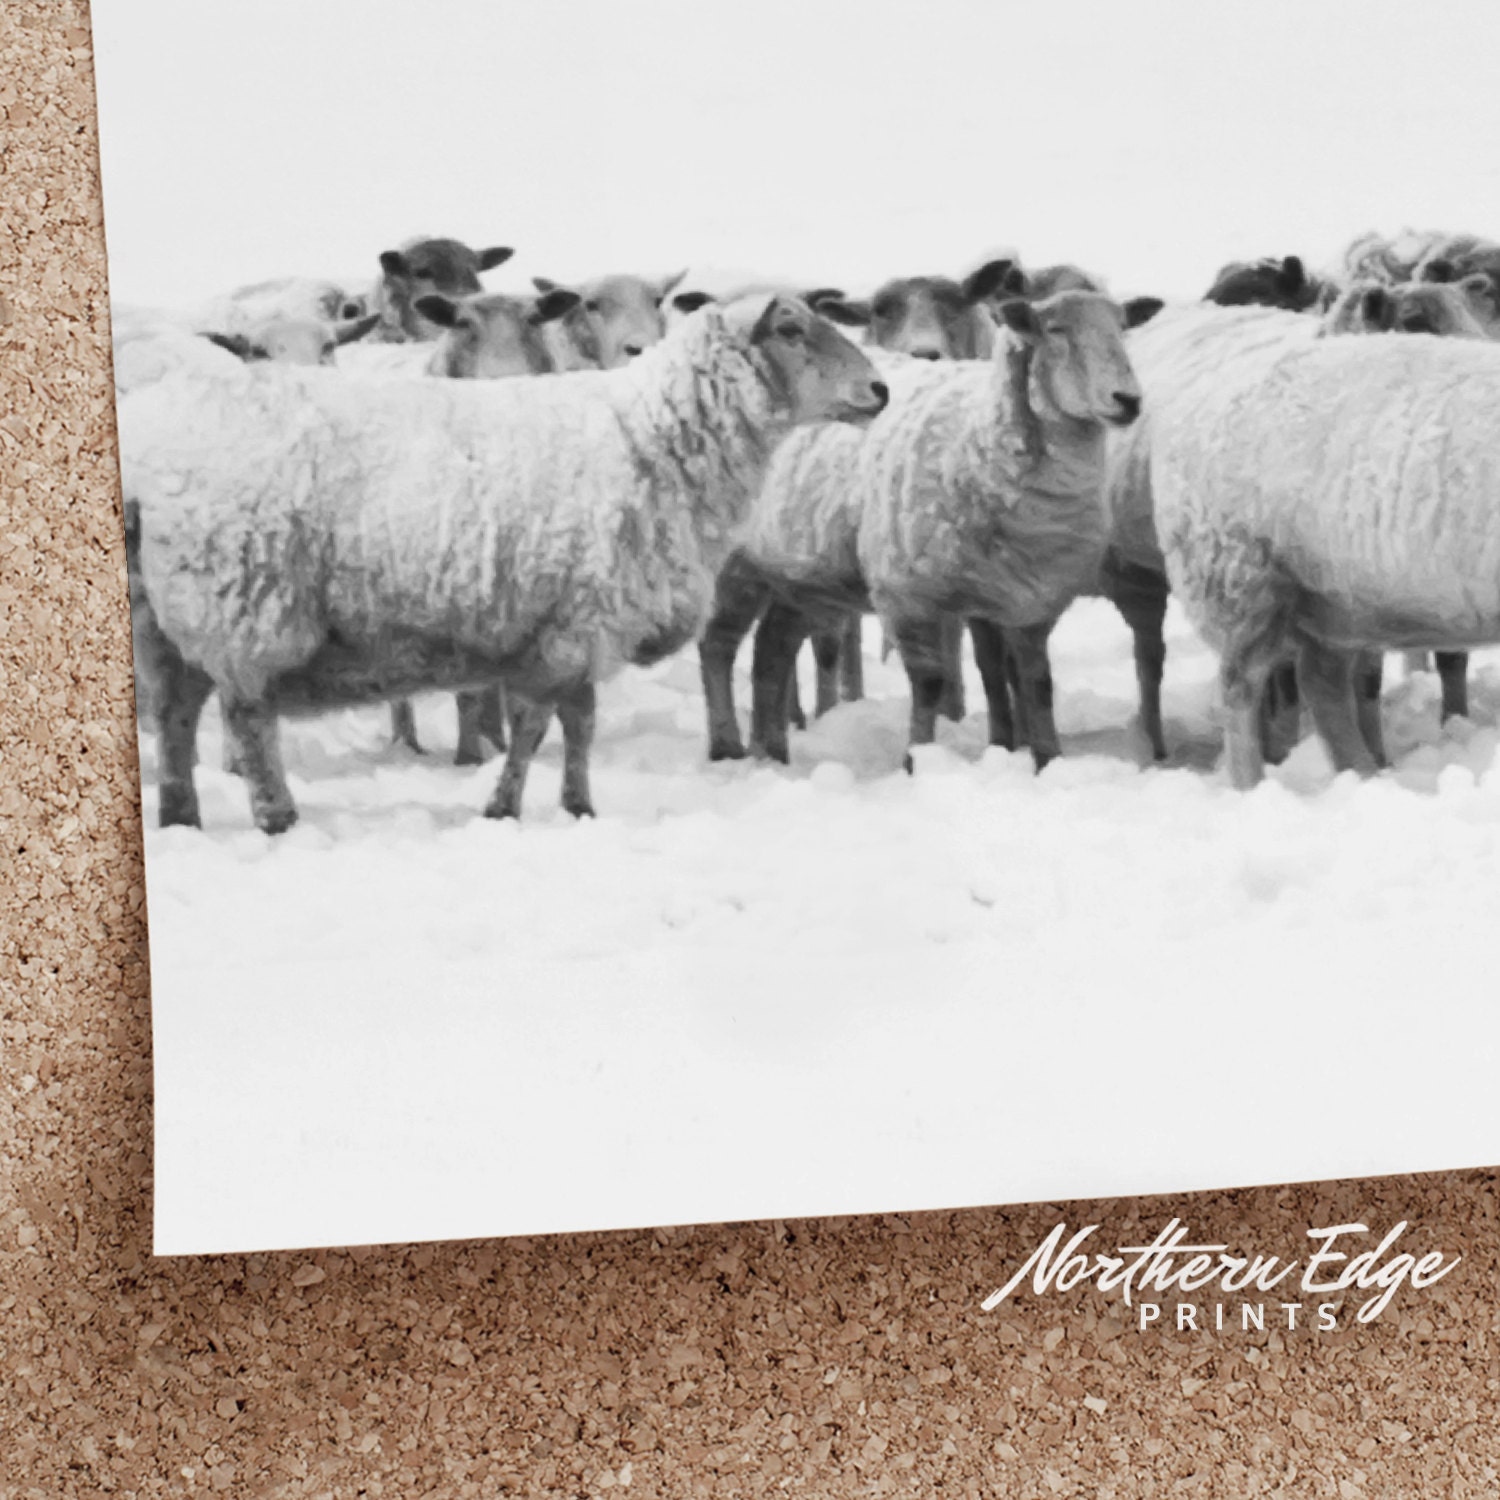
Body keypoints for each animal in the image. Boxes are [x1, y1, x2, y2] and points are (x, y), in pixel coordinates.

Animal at [120, 295, 888, 832]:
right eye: (790, 330)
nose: (880, 390)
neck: (651, 436)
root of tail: (152, 452)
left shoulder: (571, 623)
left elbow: (575, 722)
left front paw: (577, 805)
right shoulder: (575, 621)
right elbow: (540, 726)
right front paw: (509, 805)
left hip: (162, 616)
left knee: (176, 715)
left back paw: (181, 817)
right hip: (243, 602)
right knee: (247, 718)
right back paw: (275, 815)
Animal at [1145, 304, 1500, 789]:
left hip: (1330, 599)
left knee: (1321, 683)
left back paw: (1363, 773)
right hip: (1239, 575)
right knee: (1240, 689)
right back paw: (1250, 784)